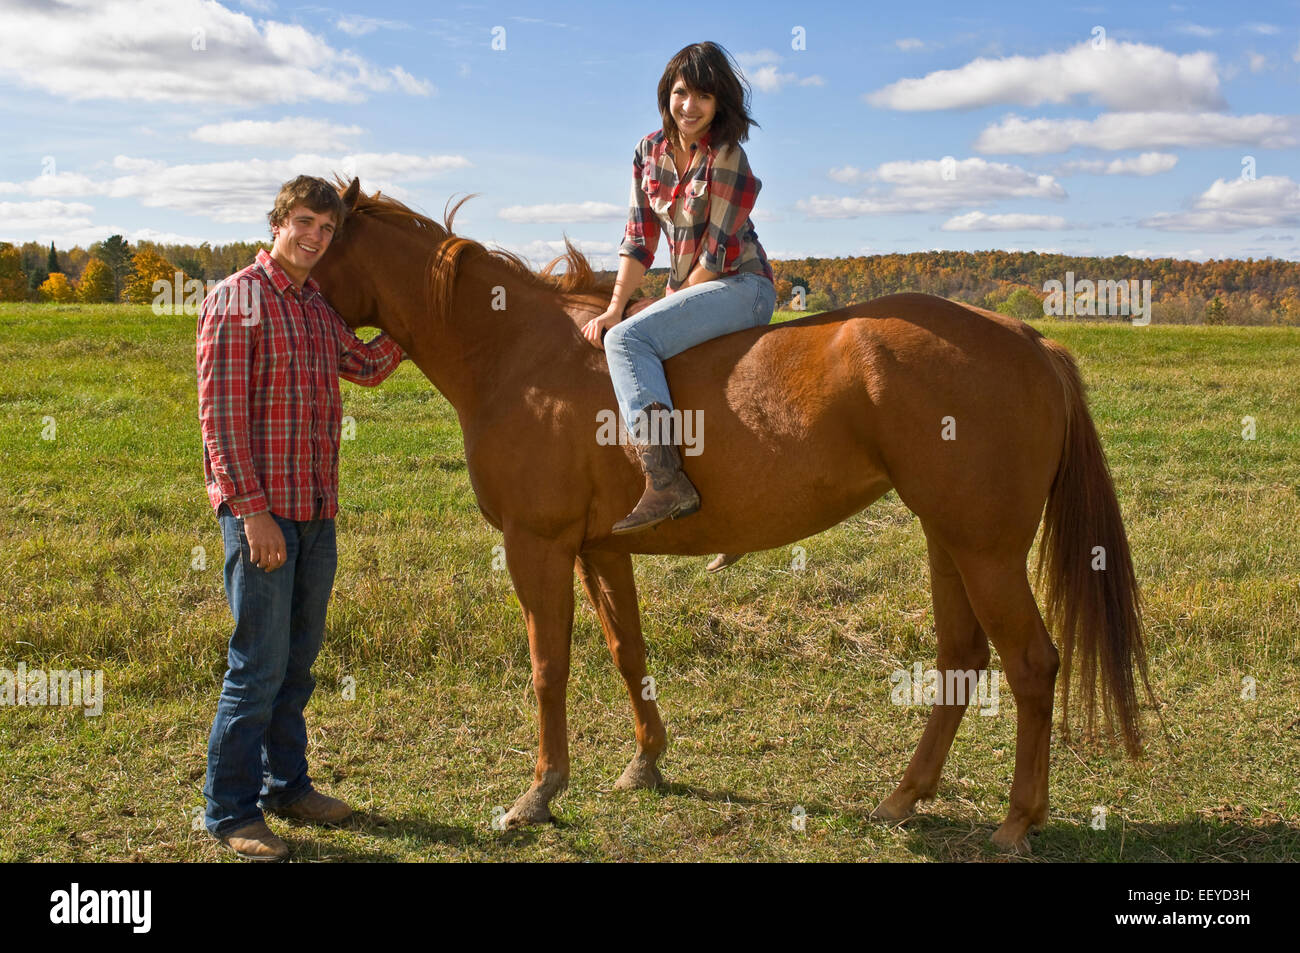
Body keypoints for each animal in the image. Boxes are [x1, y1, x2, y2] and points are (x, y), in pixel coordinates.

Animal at [312, 179, 1156, 852]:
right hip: (949, 539)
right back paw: (904, 797)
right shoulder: (601, 550)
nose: (279, 288)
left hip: (985, 550)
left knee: (1032, 664)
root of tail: (1028, 339)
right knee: (960, 658)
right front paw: (646, 760)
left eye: (311, 243)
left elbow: (549, 668)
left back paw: (1017, 820)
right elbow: (628, 653)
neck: (518, 352)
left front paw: (540, 791)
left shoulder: (538, 546)